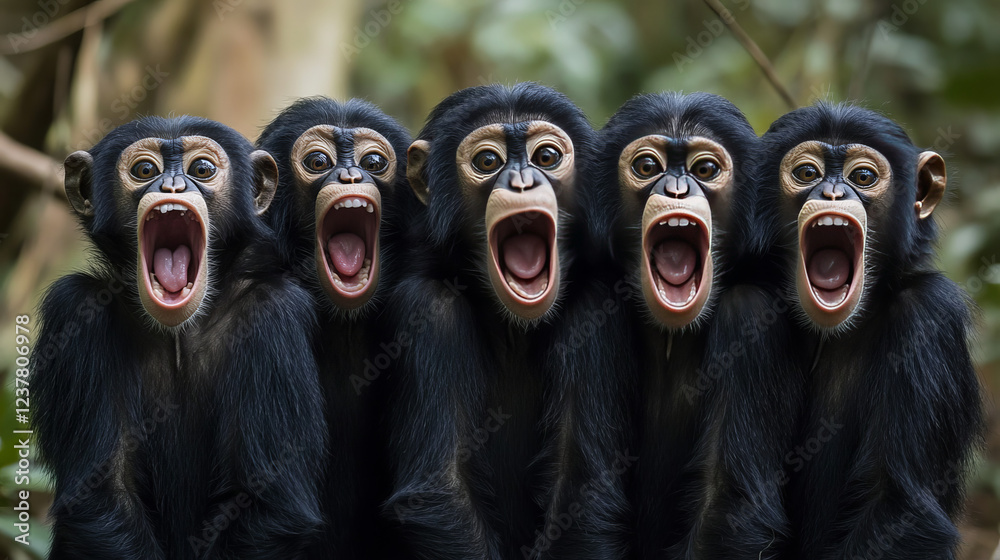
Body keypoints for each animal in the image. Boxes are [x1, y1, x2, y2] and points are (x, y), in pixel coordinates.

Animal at [32, 116, 326, 559]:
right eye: (144, 170)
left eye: (202, 169)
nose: (172, 185)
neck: (178, 335)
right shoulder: (74, 308)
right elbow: (102, 493)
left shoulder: (274, 315)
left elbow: (267, 503)